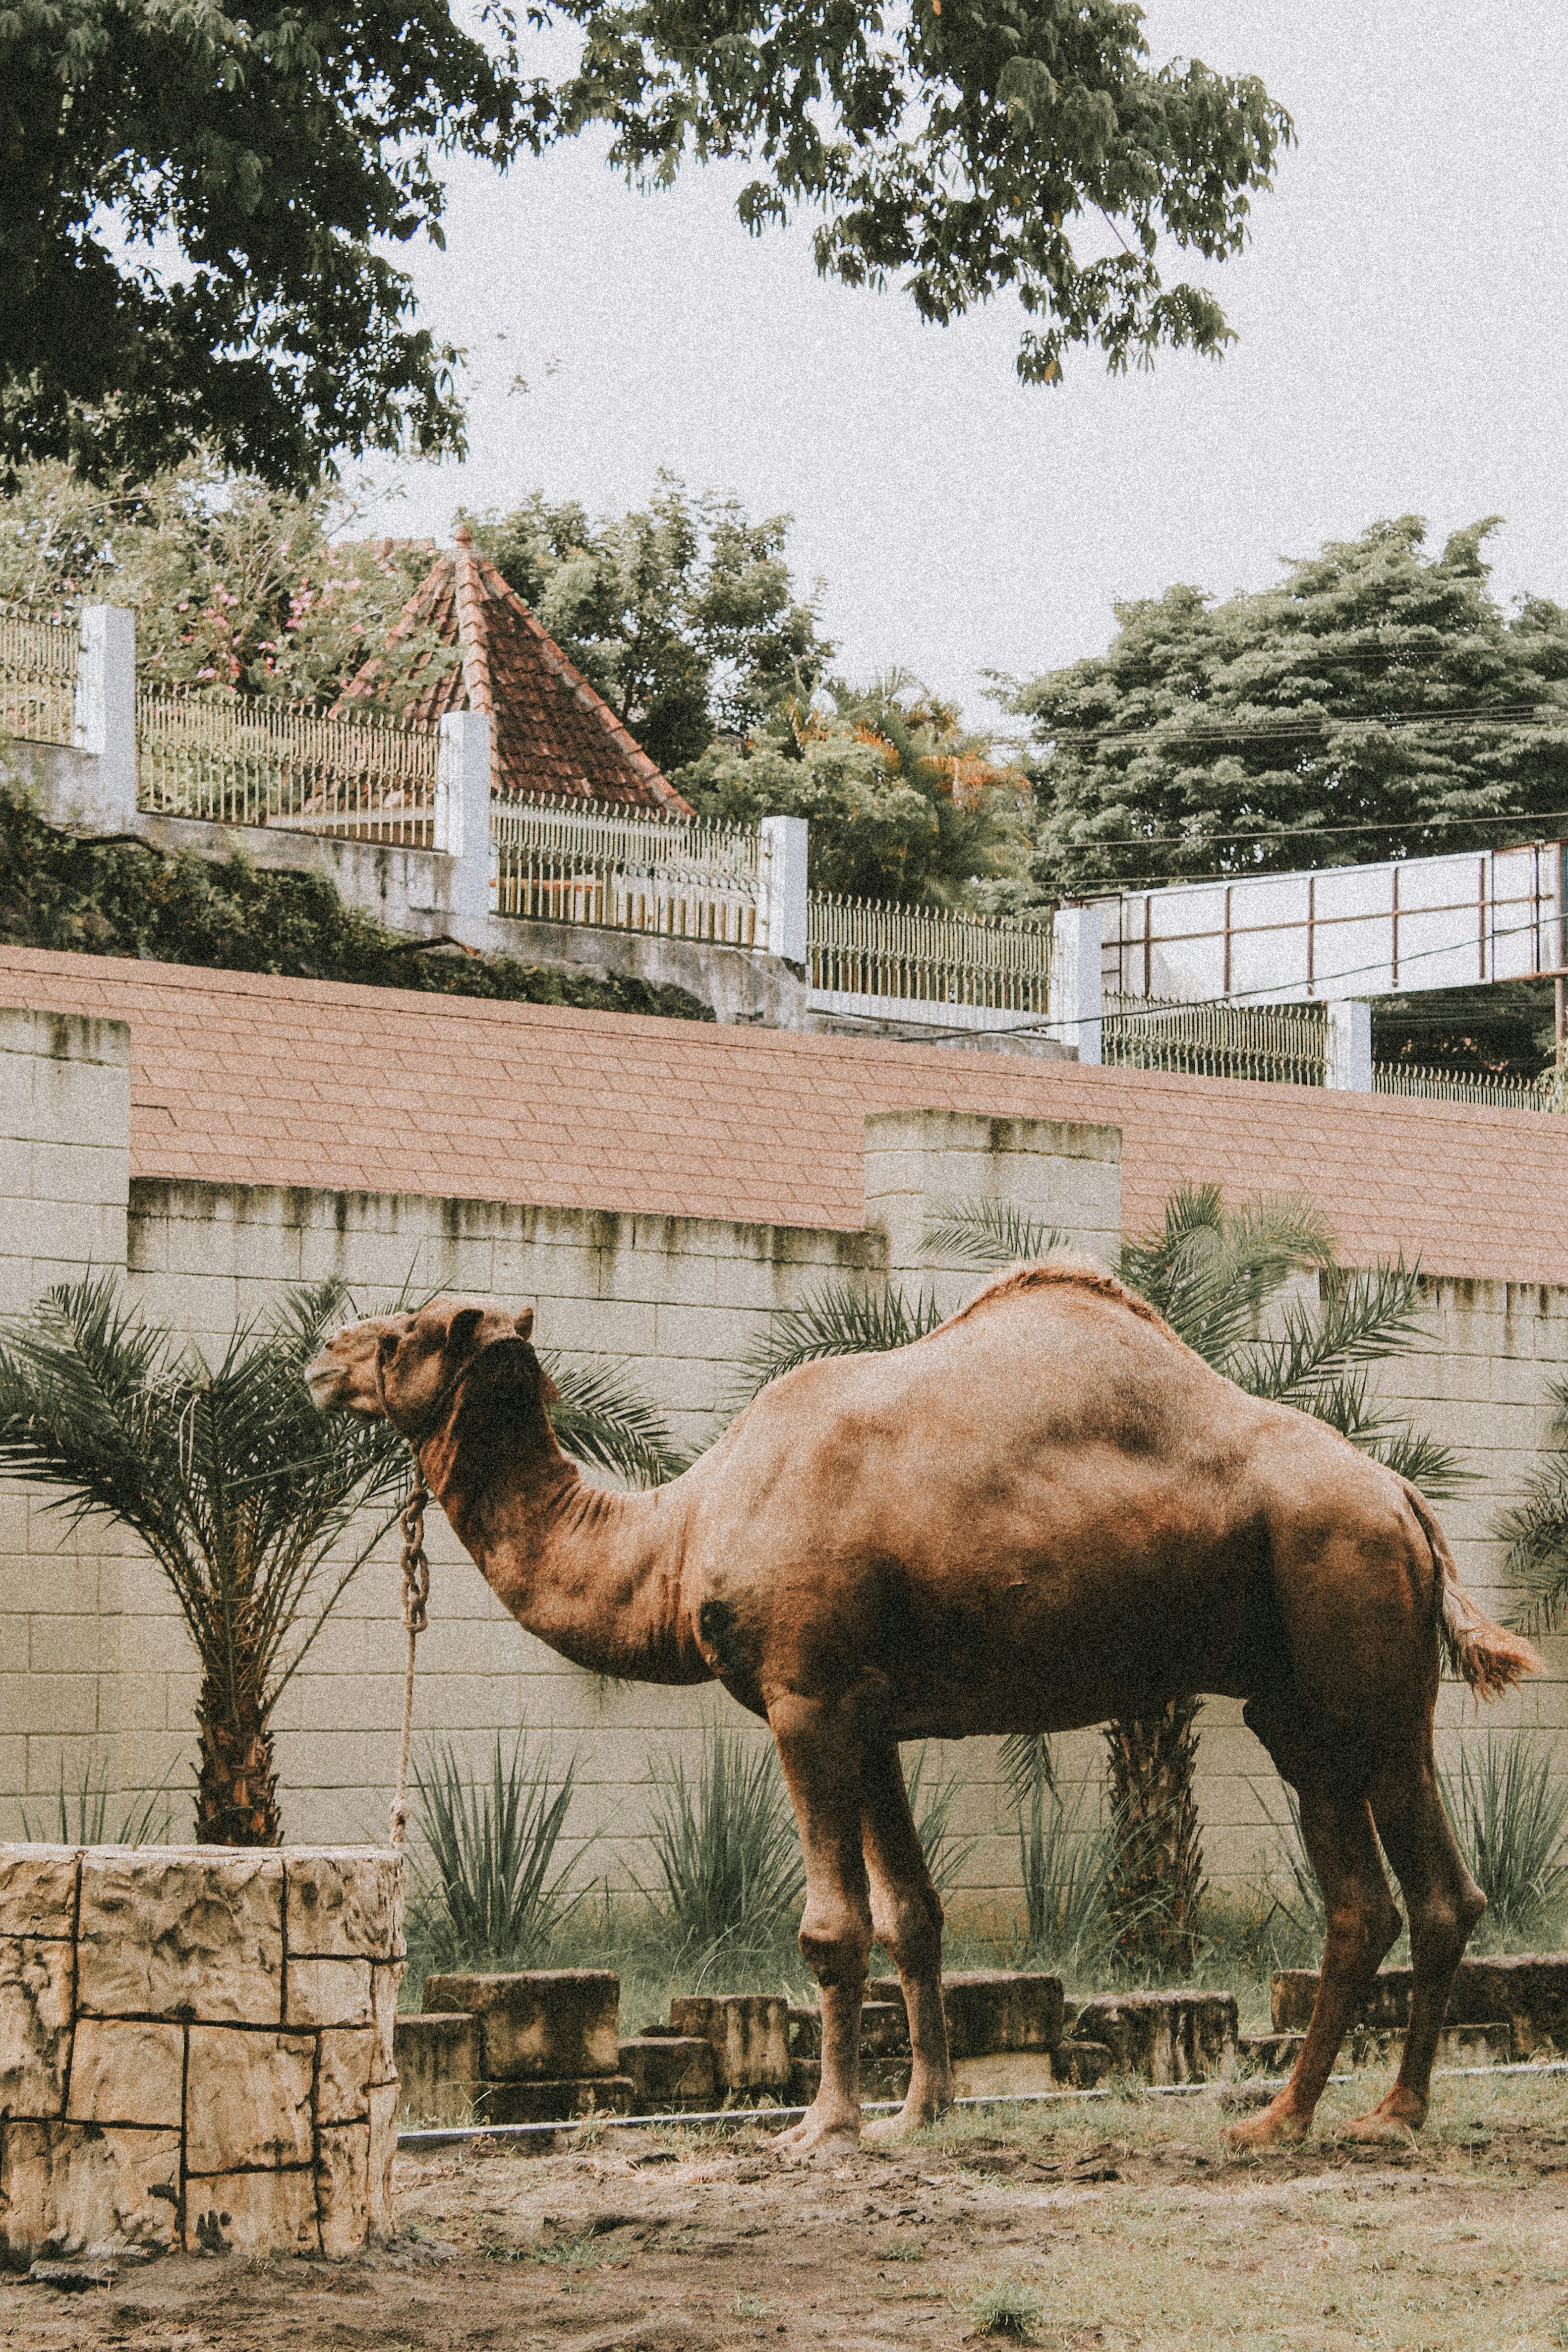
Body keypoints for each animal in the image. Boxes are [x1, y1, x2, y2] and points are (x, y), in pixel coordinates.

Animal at [307, 1263, 1539, 2155]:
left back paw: (1286, 2119)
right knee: (1428, 1890)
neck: (684, 1530)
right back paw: (1384, 2111)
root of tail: (1405, 1497)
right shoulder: (874, 1718)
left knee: (1366, 1898)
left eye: (410, 1330)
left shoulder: (804, 1694)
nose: (321, 1352)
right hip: (1341, 1695)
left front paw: (822, 2126)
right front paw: (922, 2109)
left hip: (1337, 1650)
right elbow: (917, 1913)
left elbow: (832, 1926)